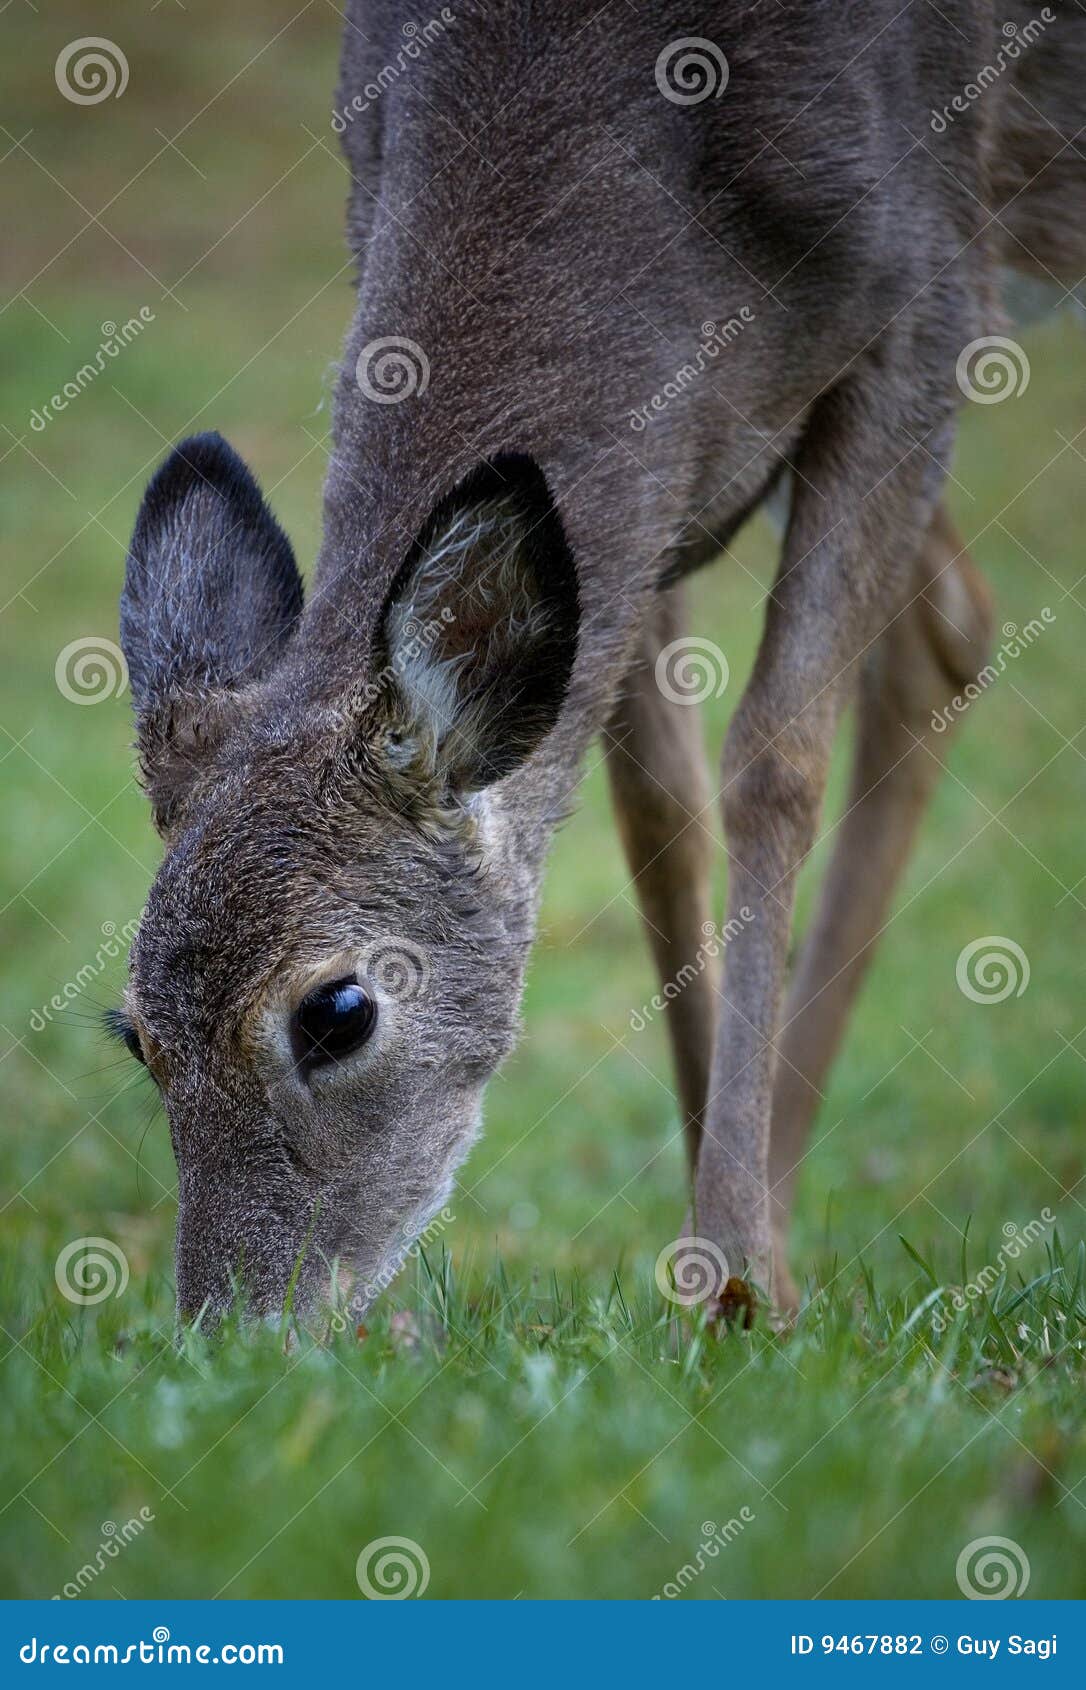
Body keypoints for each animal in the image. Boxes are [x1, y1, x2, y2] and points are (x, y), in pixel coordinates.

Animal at [112, 1, 1083, 1325]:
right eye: (134, 1033)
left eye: (338, 1010)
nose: (232, 1333)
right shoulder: (662, 468)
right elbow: (659, 807)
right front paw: (727, 1254)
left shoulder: (927, 287)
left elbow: (773, 759)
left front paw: (732, 1261)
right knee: (950, 622)